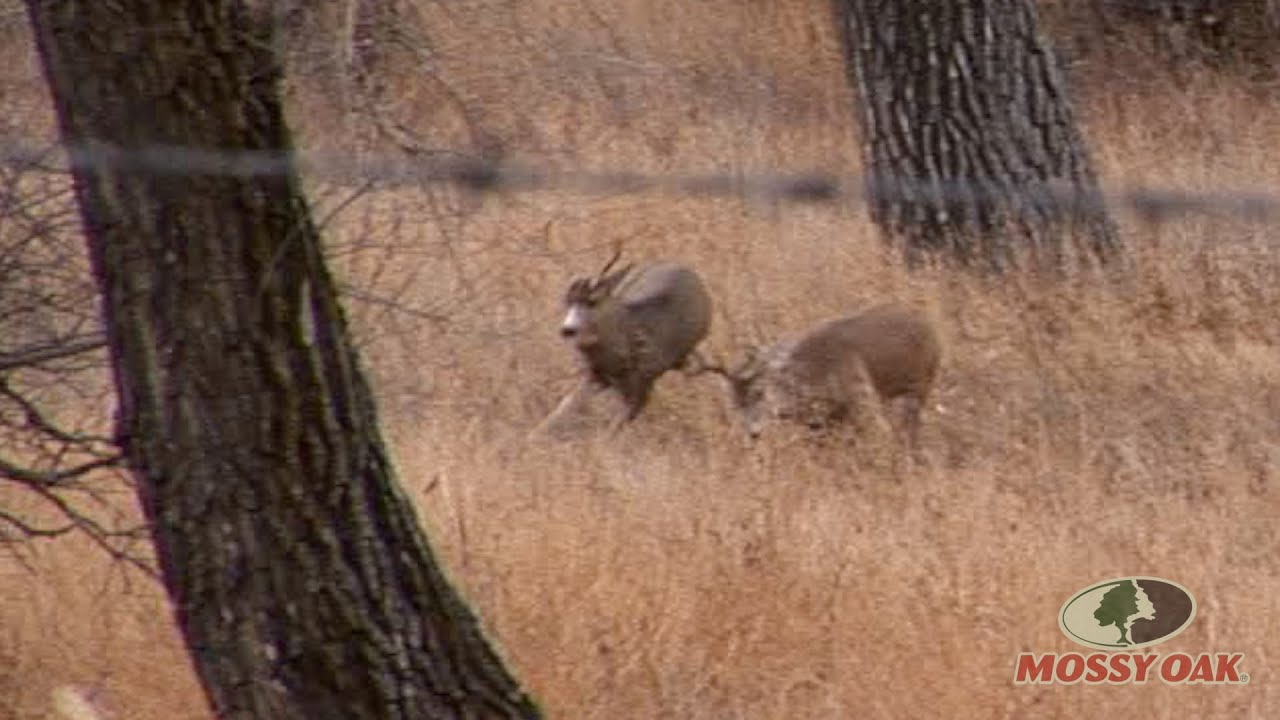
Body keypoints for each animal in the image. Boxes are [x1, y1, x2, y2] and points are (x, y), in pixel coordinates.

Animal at [530, 249, 714, 438]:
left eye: (593, 301)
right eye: (567, 301)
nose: (567, 329)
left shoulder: (643, 383)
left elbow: (616, 425)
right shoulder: (595, 374)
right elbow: (566, 405)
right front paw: (534, 434)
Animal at [693, 302, 941, 449]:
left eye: (760, 393)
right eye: (733, 403)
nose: (754, 433)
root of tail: (928, 324)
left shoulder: (863, 399)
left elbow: (882, 437)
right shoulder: (823, 423)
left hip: (921, 384)